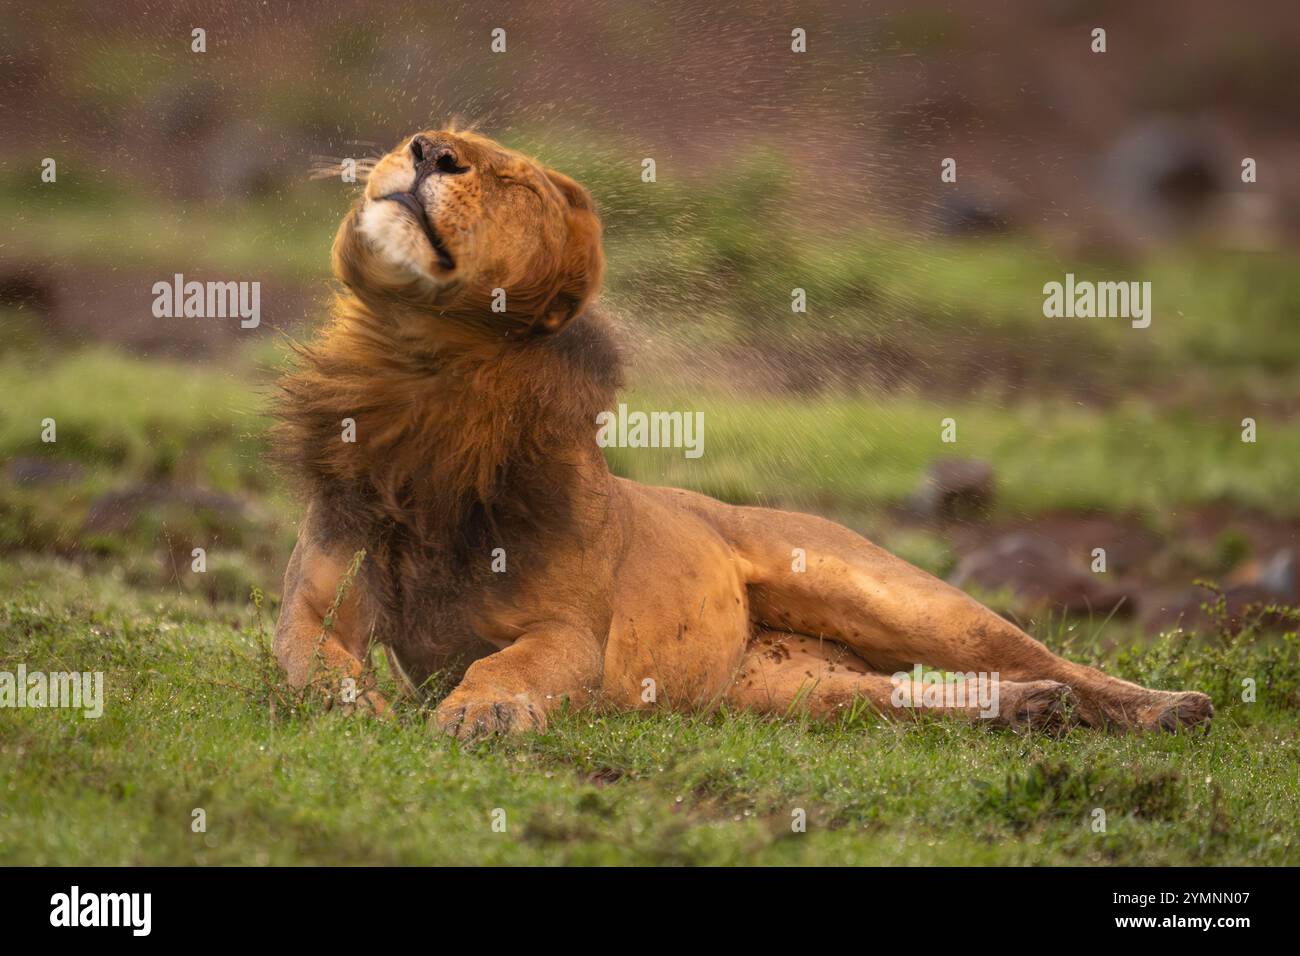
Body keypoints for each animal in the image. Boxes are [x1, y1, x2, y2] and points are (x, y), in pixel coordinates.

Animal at [273, 127, 1213, 739]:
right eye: (425, 136)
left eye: (521, 185)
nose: (428, 152)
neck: (429, 371)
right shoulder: (316, 602)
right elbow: (307, 664)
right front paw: (356, 712)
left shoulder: (574, 632)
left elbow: (510, 663)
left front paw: (484, 709)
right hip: (792, 688)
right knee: (887, 694)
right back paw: (1021, 710)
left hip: (901, 599)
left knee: (1045, 656)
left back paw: (1165, 708)